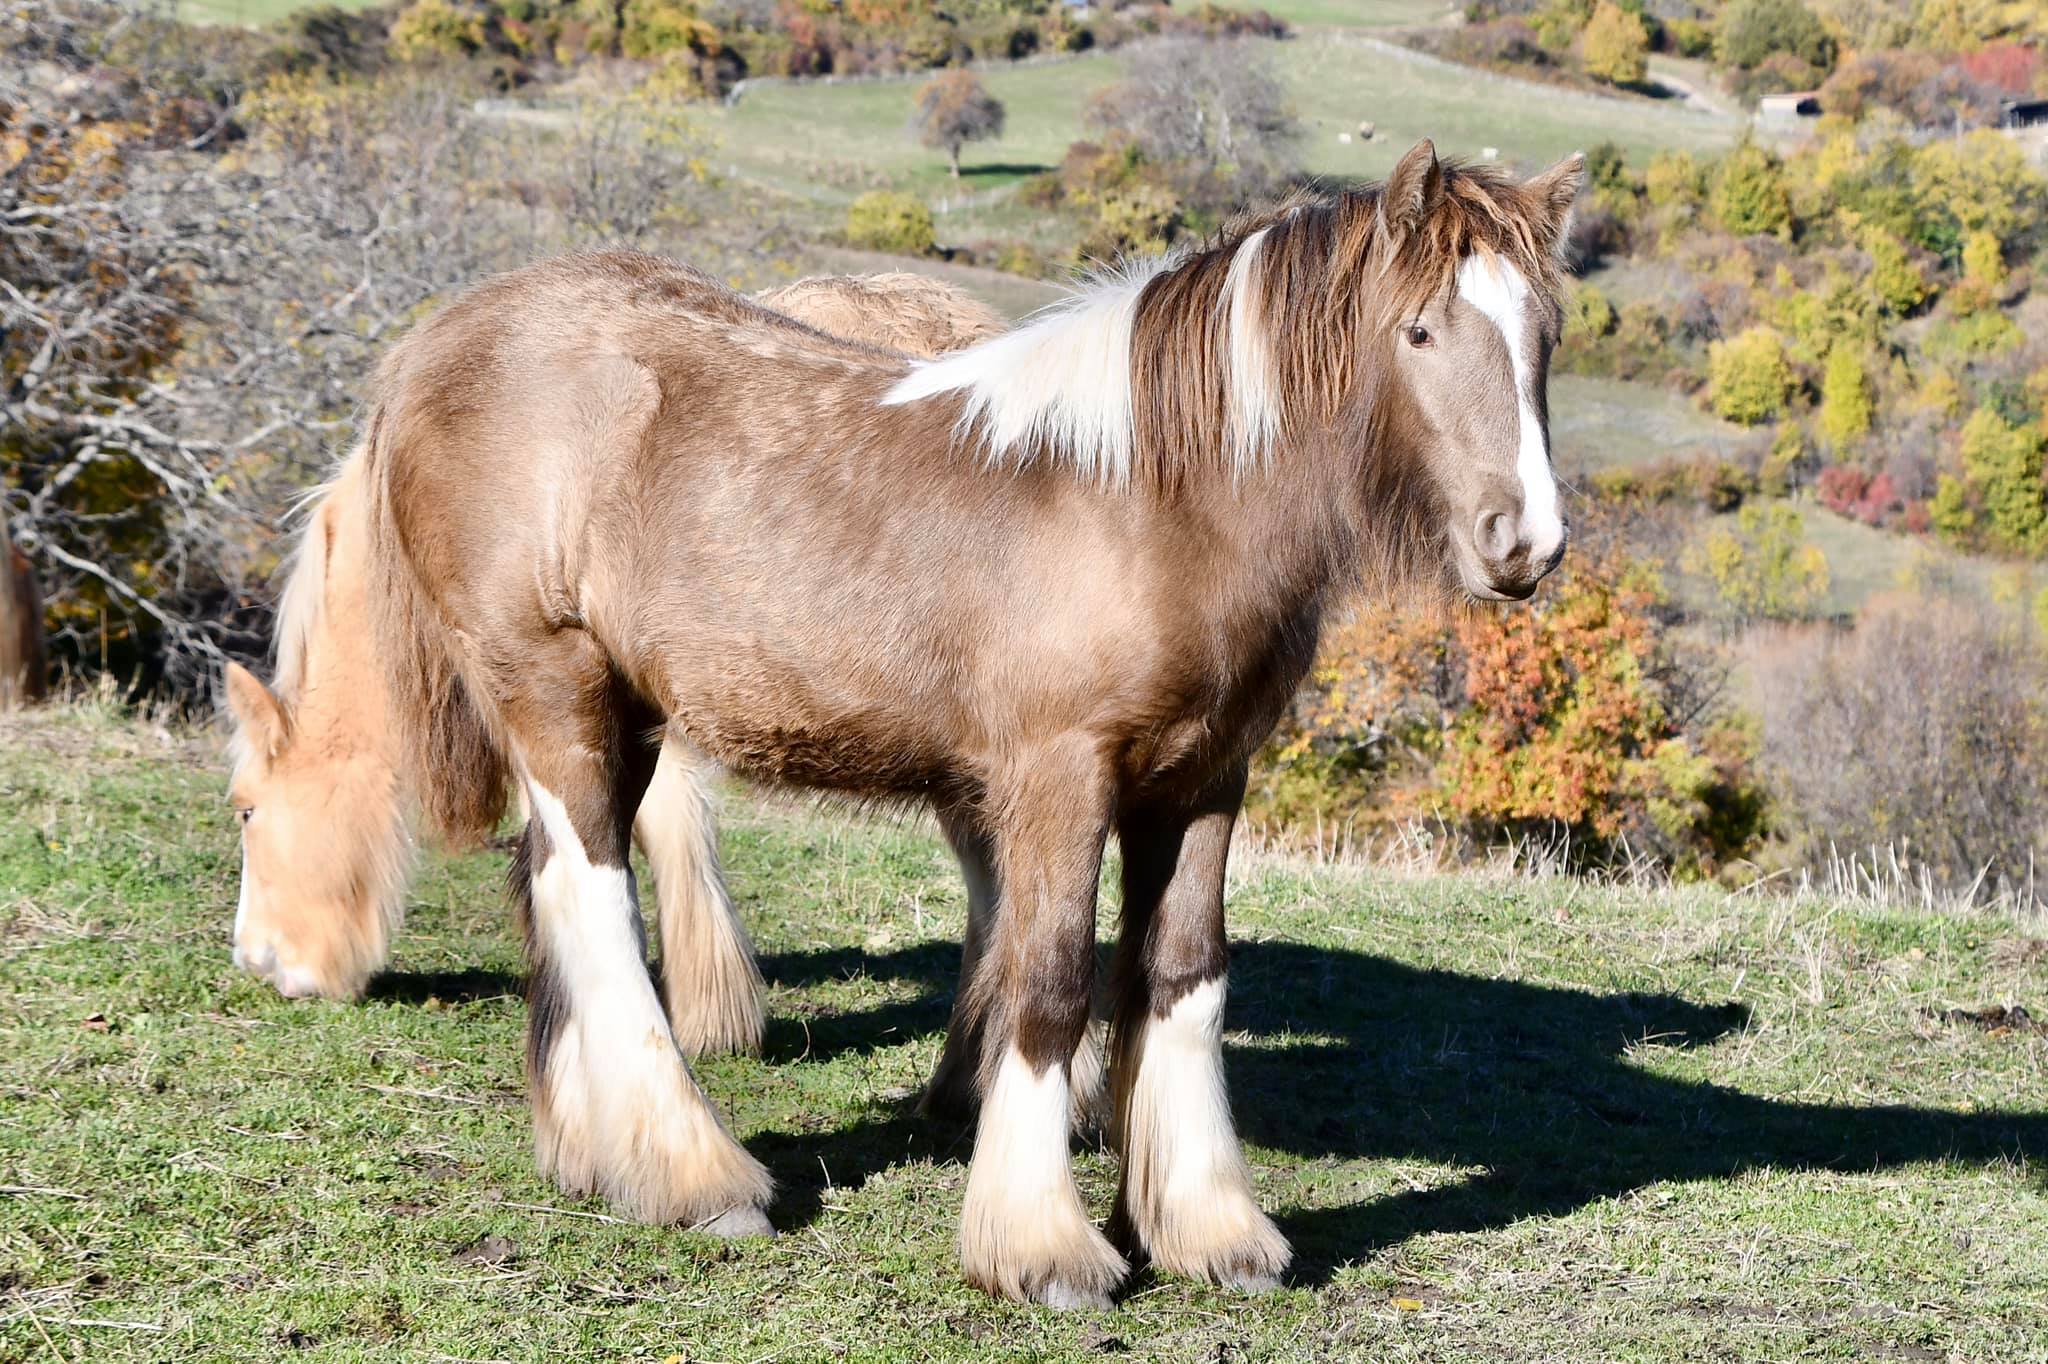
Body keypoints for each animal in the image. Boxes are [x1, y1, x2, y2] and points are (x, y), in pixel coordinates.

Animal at [361, 140, 1583, 1307]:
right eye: (1418, 329)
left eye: (1545, 333)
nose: (1522, 542)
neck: (1148, 504)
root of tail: (434, 346)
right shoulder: (1058, 774)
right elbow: (1047, 982)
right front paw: (1041, 1249)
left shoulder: (1203, 778)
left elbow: (1182, 975)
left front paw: (1209, 1232)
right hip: (551, 686)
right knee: (594, 894)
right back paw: (696, 1178)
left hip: (628, 708)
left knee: (548, 887)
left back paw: (591, 1156)